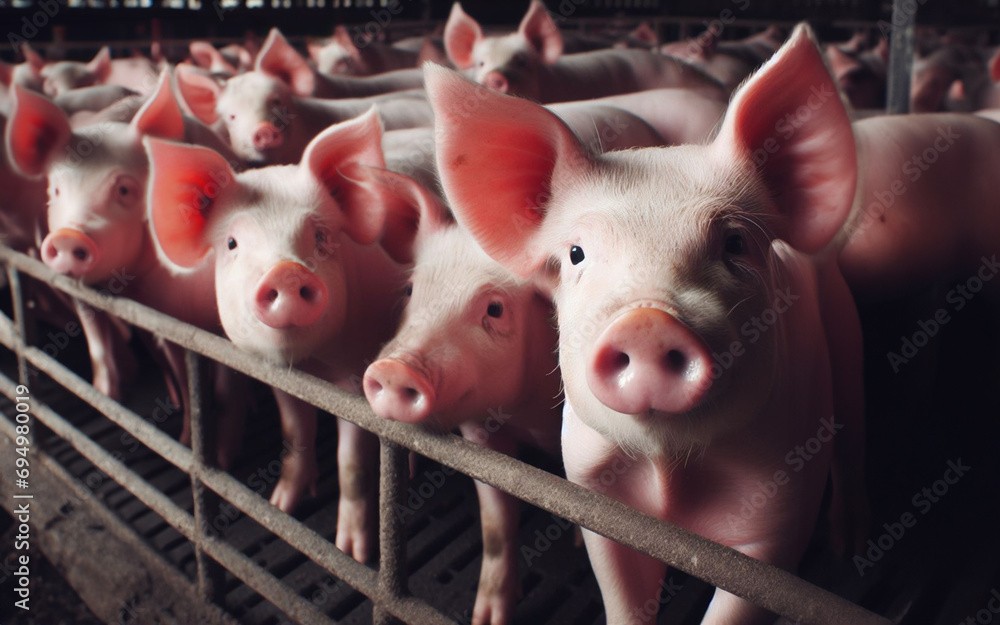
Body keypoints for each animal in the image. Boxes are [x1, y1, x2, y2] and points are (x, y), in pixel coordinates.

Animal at [144, 109, 407, 561]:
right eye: (232, 242)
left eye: (321, 237)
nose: (286, 271)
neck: (311, 366)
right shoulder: (279, 377)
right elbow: (294, 429)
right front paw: (281, 506)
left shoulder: (357, 380)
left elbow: (351, 460)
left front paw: (352, 553)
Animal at [362, 169, 562, 625]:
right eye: (410, 290)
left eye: (495, 309)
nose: (395, 368)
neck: (525, 415)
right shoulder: (479, 436)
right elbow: (496, 521)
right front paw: (487, 617)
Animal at [428, 22, 867, 624]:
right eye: (576, 254)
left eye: (736, 244)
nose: (647, 323)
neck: (670, 480)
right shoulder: (597, 497)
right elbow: (622, 596)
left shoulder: (776, 531)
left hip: (845, 343)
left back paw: (846, 549)